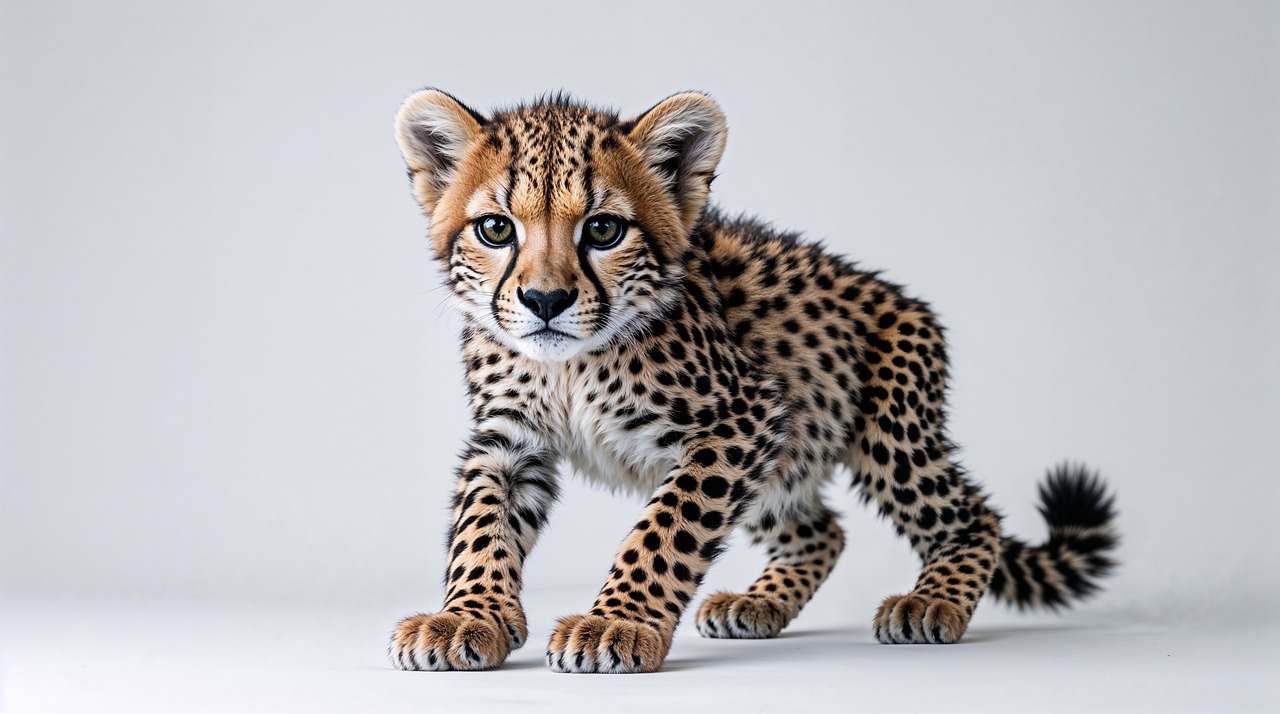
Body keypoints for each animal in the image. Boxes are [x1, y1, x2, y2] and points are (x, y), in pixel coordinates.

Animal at [387, 88, 1119, 673]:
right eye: (495, 229)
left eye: (604, 229)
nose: (544, 301)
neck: (571, 364)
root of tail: (899, 296)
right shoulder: (509, 440)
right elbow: (480, 528)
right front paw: (468, 615)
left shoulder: (742, 417)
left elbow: (668, 528)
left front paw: (616, 622)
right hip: (783, 463)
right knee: (822, 531)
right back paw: (758, 605)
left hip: (887, 433)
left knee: (970, 515)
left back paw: (932, 601)